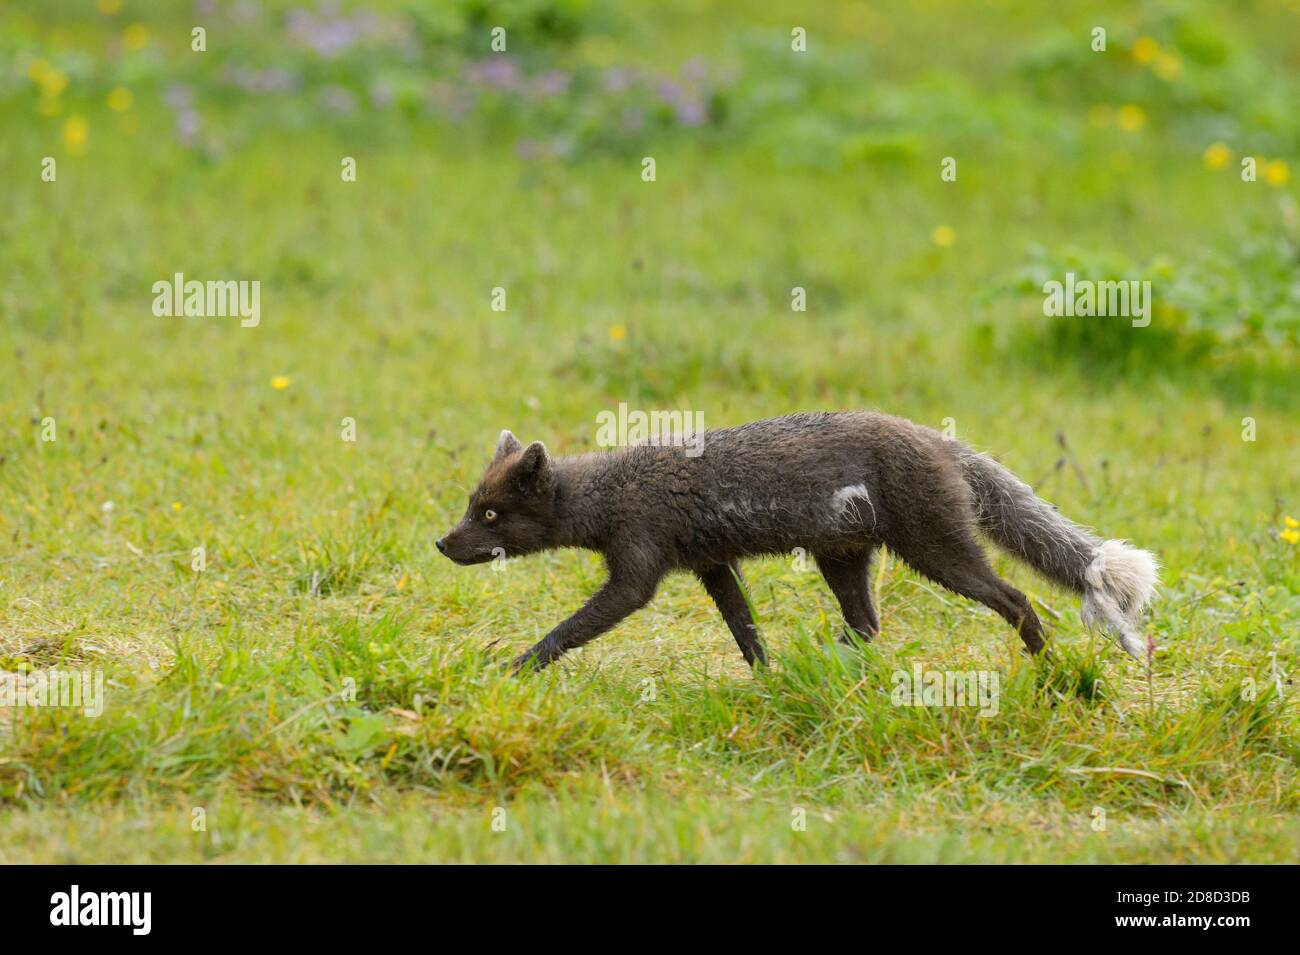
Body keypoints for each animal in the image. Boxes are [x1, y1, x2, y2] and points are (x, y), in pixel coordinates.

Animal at [436, 412, 1159, 673]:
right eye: (473, 505)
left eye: (492, 514)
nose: (443, 543)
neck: (611, 489)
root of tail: (939, 438)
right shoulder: (712, 564)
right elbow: (744, 628)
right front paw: (766, 678)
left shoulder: (638, 565)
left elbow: (572, 626)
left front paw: (515, 668)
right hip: (843, 554)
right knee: (866, 621)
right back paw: (834, 665)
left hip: (936, 548)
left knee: (1015, 598)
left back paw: (1051, 671)